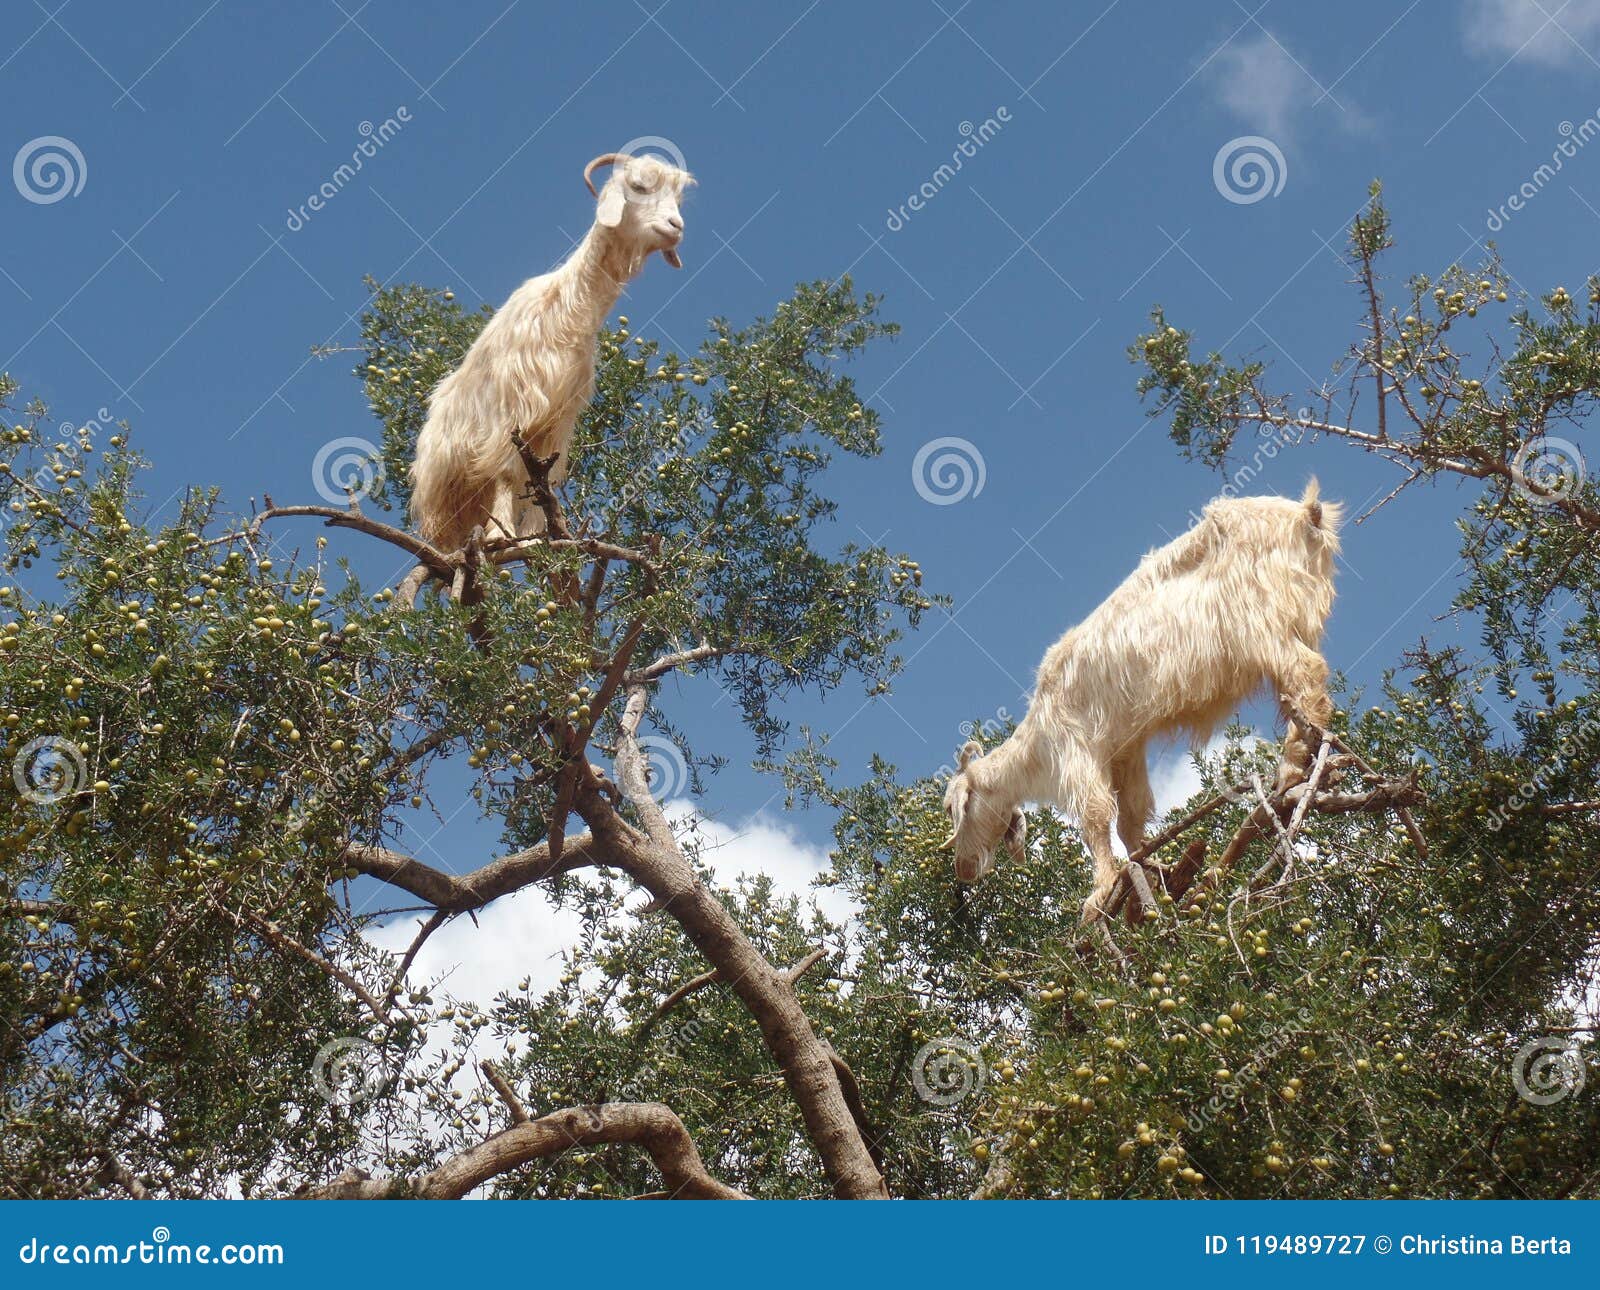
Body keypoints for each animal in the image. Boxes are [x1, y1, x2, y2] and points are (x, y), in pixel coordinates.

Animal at [409, 150, 694, 553]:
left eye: (678, 198)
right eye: (638, 186)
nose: (675, 226)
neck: (567, 313)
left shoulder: (558, 420)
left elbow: (542, 483)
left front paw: (535, 537)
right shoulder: (512, 409)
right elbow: (507, 474)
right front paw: (501, 536)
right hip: (443, 498)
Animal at [942, 481, 1341, 920]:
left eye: (954, 809)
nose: (962, 870)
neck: (1036, 743)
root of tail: (1306, 514)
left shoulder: (1075, 750)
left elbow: (1095, 818)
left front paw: (1098, 894)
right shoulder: (1125, 750)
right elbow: (1130, 818)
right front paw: (1147, 869)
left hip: (1263, 626)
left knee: (1306, 673)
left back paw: (1290, 771)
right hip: (1302, 622)